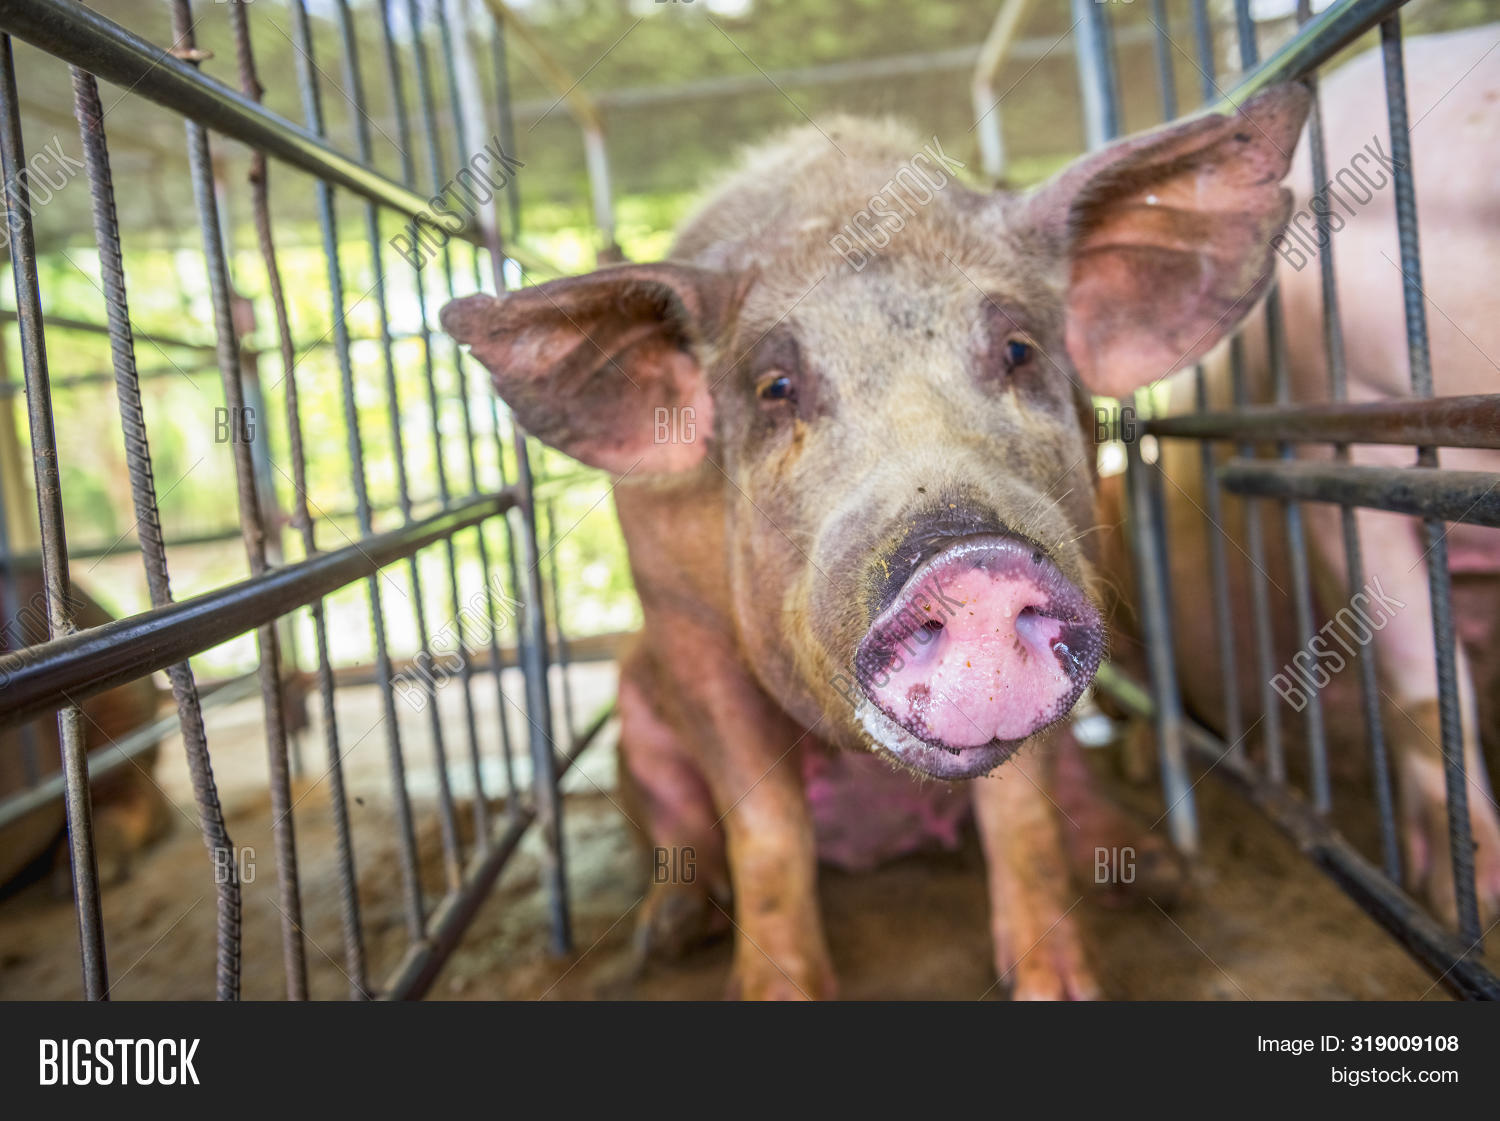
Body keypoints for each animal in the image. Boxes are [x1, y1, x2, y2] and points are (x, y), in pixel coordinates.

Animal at [442, 84, 1312, 998]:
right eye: (775, 387)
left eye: (1019, 349)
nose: (970, 559)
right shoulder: (679, 613)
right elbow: (766, 822)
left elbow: (1022, 811)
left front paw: (1060, 988)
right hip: (637, 715)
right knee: (681, 822)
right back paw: (668, 933)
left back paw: (1159, 872)